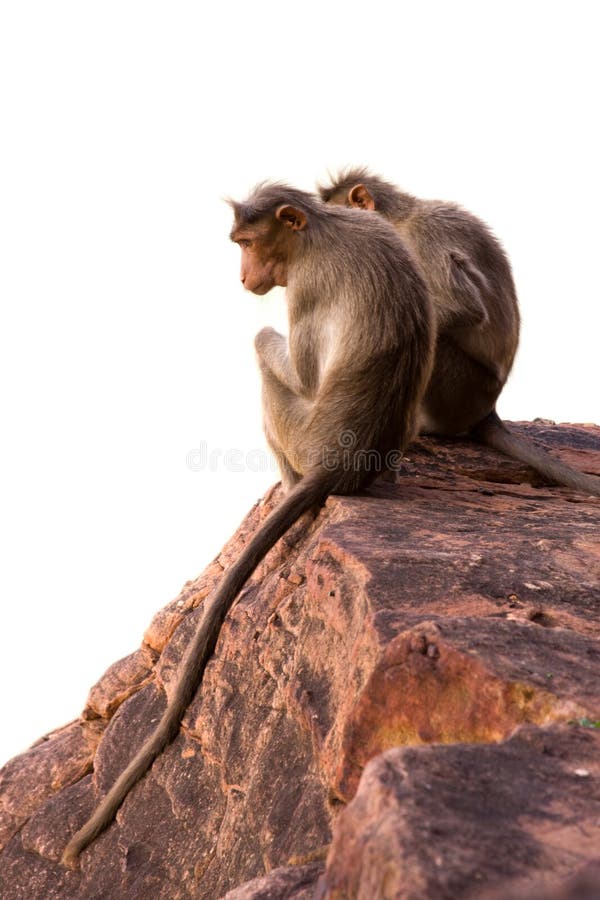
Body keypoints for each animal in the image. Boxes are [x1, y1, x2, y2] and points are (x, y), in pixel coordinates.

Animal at [61, 183, 435, 866]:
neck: (319, 227)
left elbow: (291, 356)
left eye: (247, 244)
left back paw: (285, 485)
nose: (241, 276)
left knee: (265, 347)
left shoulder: (305, 286)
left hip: (299, 431)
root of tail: (339, 466)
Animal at [319, 168, 600, 496]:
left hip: (460, 391)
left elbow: (463, 308)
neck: (402, 220)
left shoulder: (425, 238)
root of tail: (487, 410)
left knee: (430, 341)